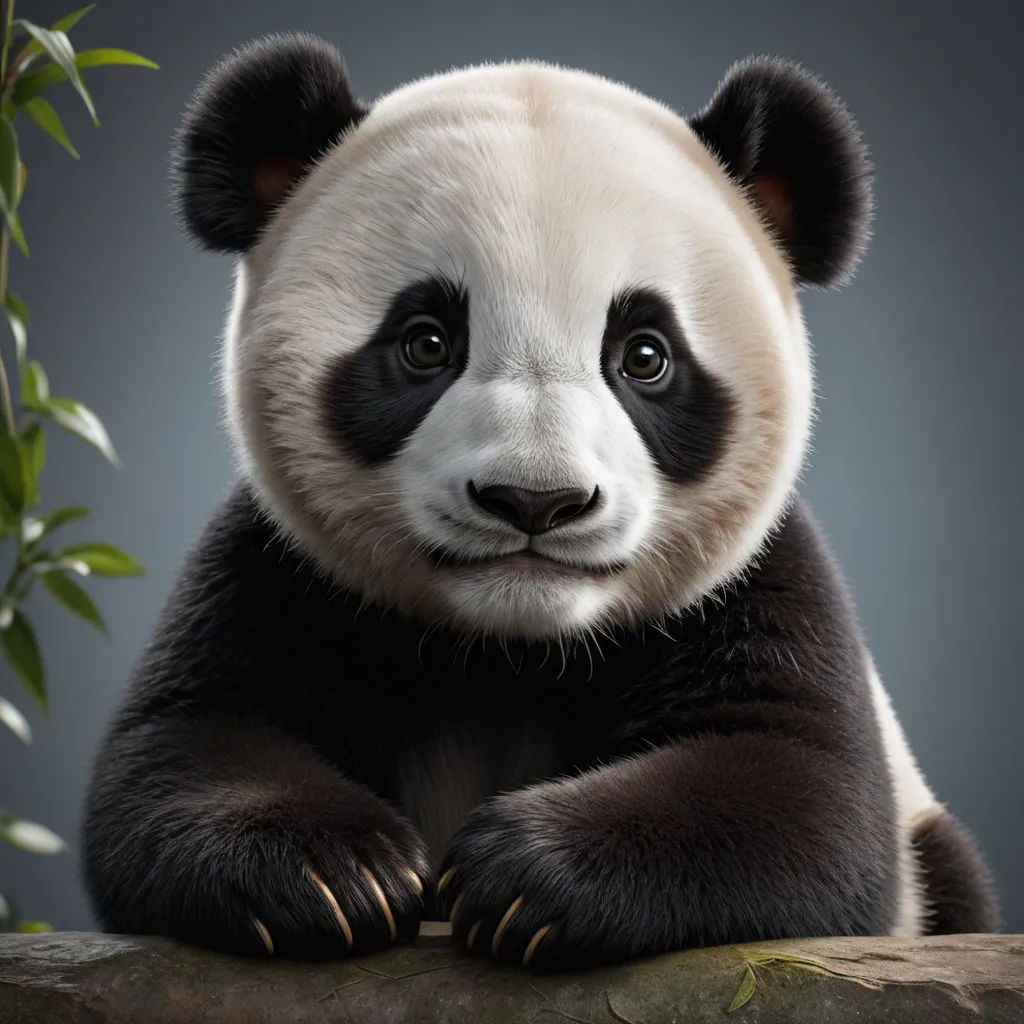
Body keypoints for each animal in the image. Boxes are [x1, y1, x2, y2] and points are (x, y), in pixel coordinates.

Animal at [82, 34, 998, 968]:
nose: (535, 500)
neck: (511, 648)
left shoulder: (756, 577)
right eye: (426, 342)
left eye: (644, 354)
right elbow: (188, 740)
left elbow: (801, 789)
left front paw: (518, 878)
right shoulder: (284, 566)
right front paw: (340, 875)